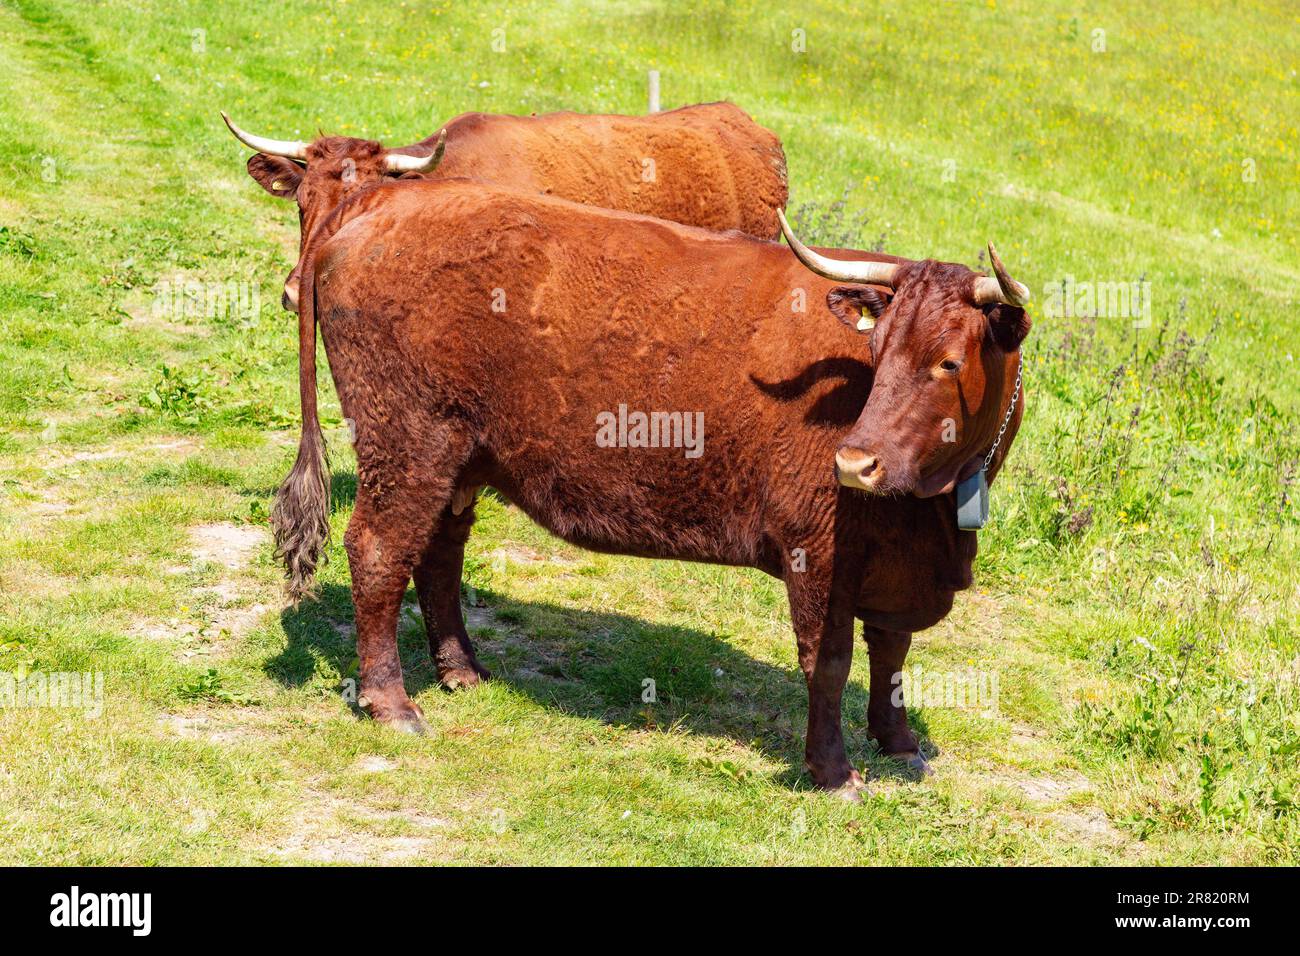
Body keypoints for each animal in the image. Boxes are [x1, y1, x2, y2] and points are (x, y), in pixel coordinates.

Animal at [269, 176, 1030, 798]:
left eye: (949, 361)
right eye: (879, 351)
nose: (855, 463)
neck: (931, 517)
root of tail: (379, 201)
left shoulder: (896, 560)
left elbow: (892, 648)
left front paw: (897, 742)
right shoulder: (818, 549)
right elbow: (830, 658)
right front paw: (835, 772)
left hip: (460, 455)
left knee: (438, 551)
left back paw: (462, 671)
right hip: (407, 440)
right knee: (379, 550)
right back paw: (392, 704)